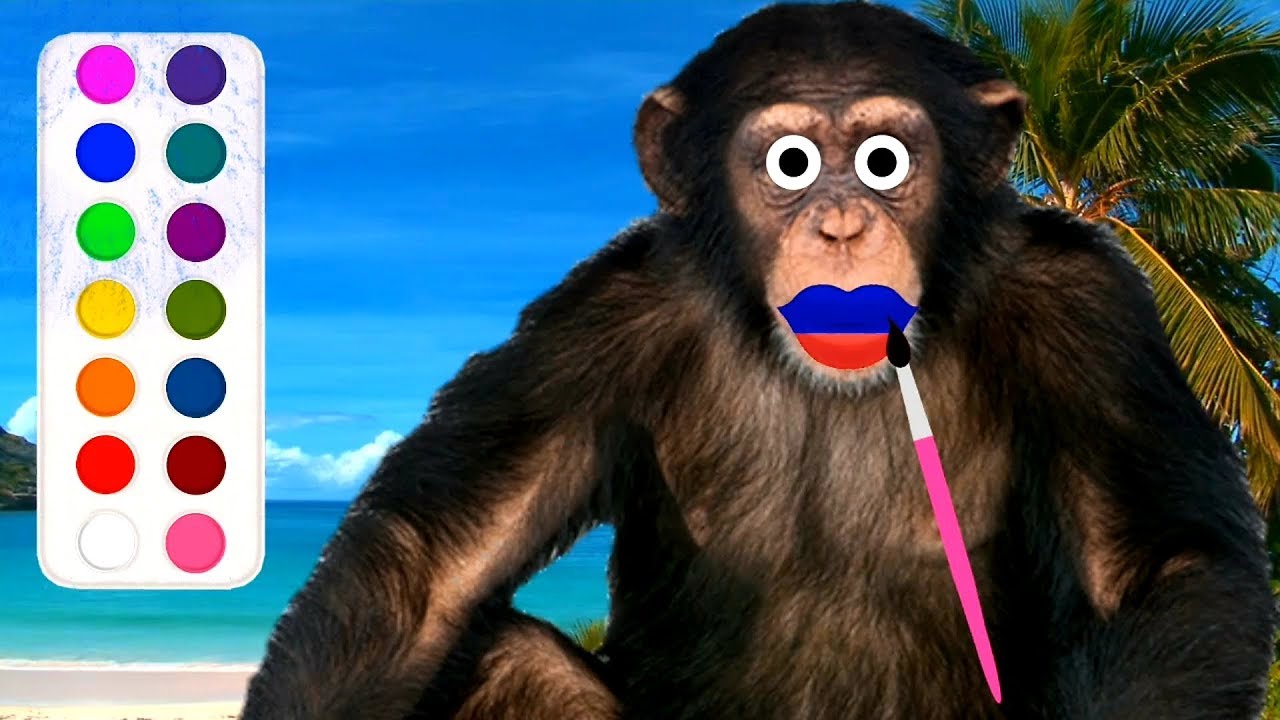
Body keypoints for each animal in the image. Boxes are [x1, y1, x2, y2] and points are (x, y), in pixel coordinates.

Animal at [239, 2, 1278, 719]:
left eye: (886, 160)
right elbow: (436, 567)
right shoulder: (600, 318)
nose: (842, 222)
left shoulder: (1087, 307)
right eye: (789, 162)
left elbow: (1156, 569)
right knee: (506, 662)